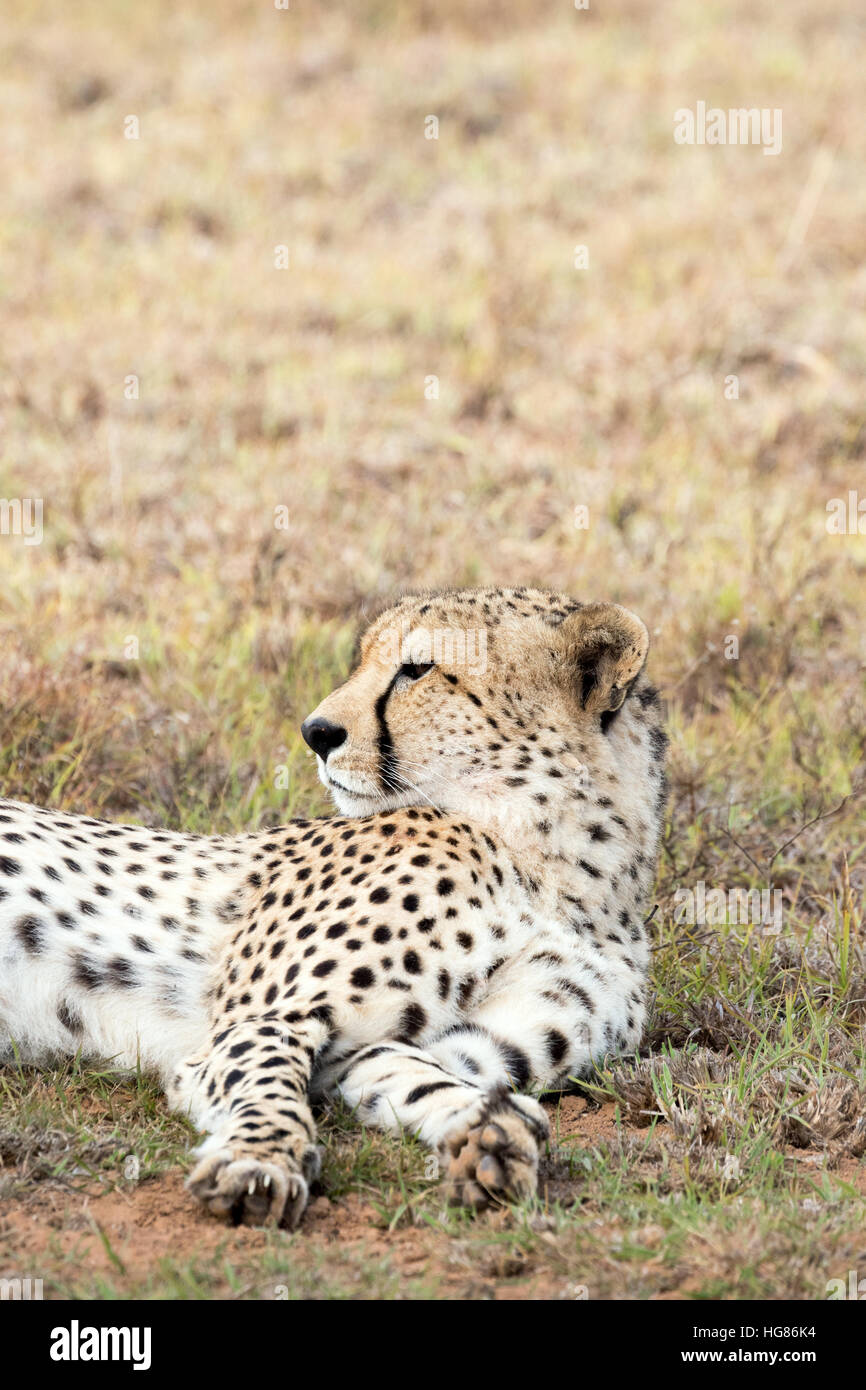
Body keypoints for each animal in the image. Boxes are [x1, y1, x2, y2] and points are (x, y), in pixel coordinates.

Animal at [0, 586, 667, 1228]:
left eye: (418, 669)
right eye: (366, 660)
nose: (315, 733)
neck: (560, 869)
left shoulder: (435, 1048)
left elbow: (418, 1076)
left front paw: (488, 1131)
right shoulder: (258, 1023)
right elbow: (267, 1082)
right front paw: (260, 1161)